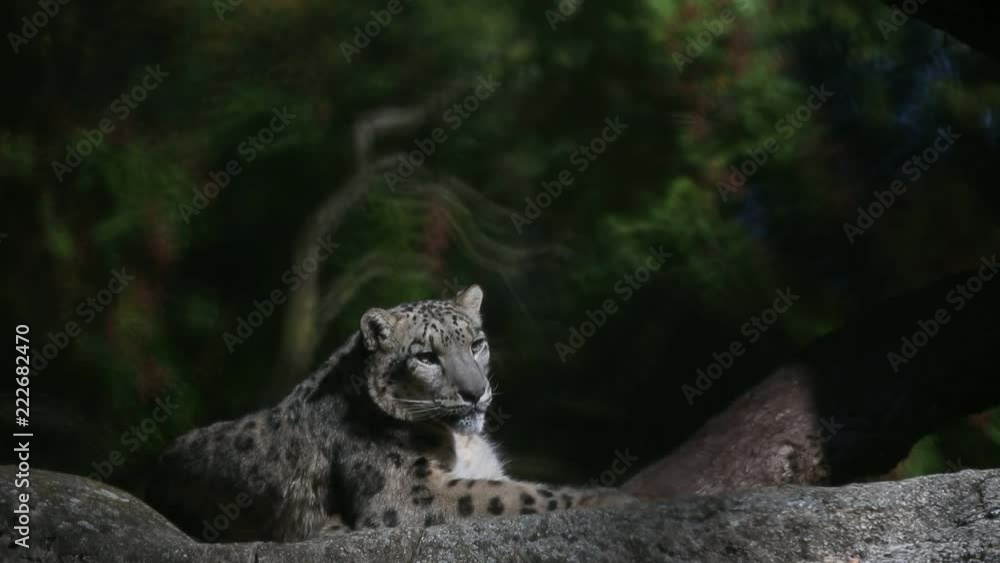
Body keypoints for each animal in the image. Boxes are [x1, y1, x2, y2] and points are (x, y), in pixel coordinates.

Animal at [146, 285, 636, 542]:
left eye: (477, 343)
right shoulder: (406, 496)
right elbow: (518, 495)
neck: (462, 441)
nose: (475, 391)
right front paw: (613, 498)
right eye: (426, 356)